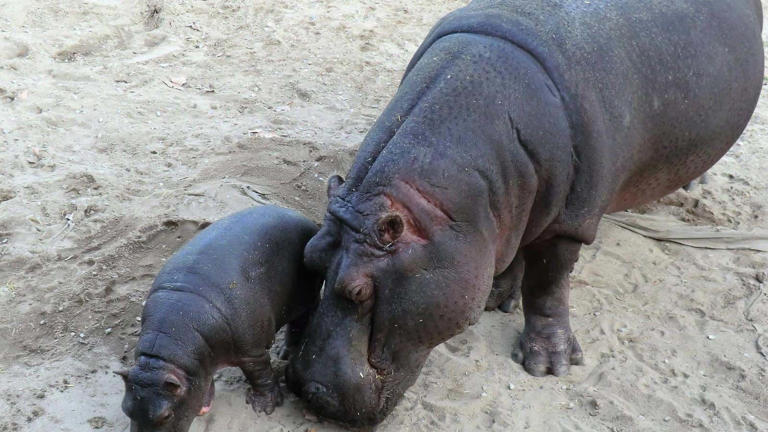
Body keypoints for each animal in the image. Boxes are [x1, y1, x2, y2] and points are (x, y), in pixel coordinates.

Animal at [116, 205, 322, 432]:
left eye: (166, 415)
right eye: (125, 408)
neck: (165, 357)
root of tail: (304, 218)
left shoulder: (251, 351)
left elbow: (260, 374)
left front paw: (263, 407)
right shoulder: (200, 368)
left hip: (305, 298)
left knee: (301, 321)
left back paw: (287, 353)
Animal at [287, 0, 764, 426]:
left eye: (359, 292)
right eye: (309, 258)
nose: (310, 391)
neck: (436, 215)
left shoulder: (568, 223)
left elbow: (548, 286)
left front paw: (547, 365)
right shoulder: (504, 207)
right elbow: (513, 248)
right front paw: (498, 295)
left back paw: (693, 185)